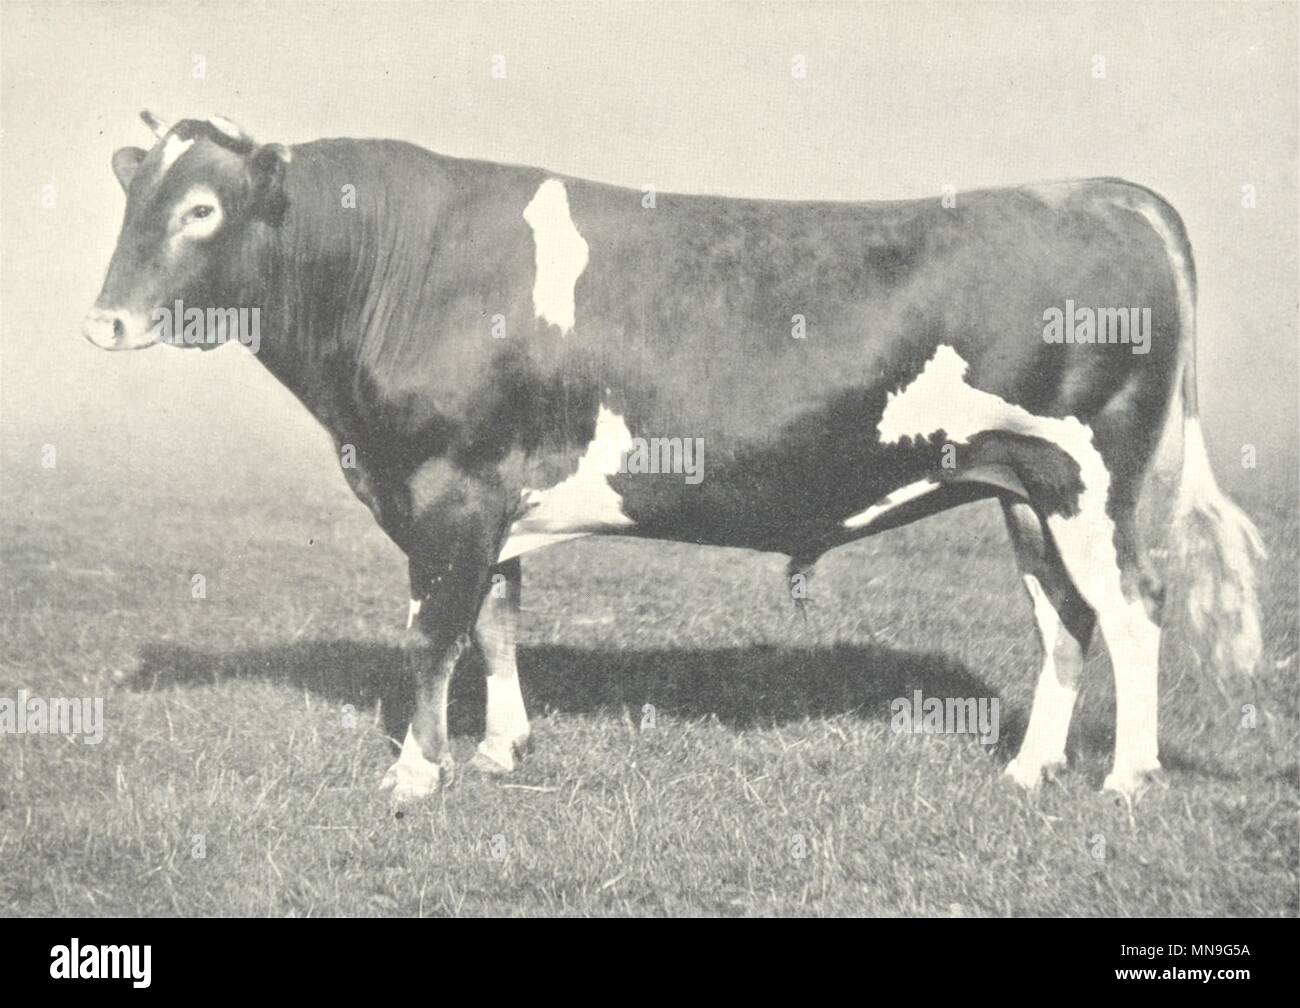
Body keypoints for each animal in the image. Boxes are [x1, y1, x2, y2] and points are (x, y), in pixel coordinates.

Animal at [84, 112, 1265, 803]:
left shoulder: (448, 490)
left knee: (1134, 608)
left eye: (202, 210)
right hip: (1022, 485)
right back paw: (1028, 768)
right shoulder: (491, 495)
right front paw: (503, 750)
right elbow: (496, 623)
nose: (104, 321)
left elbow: (432, 636)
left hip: (1089, 479)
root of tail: (1099, 188)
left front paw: (416, 775)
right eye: (132, 199)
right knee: (1063, 618)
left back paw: (1125, 780)